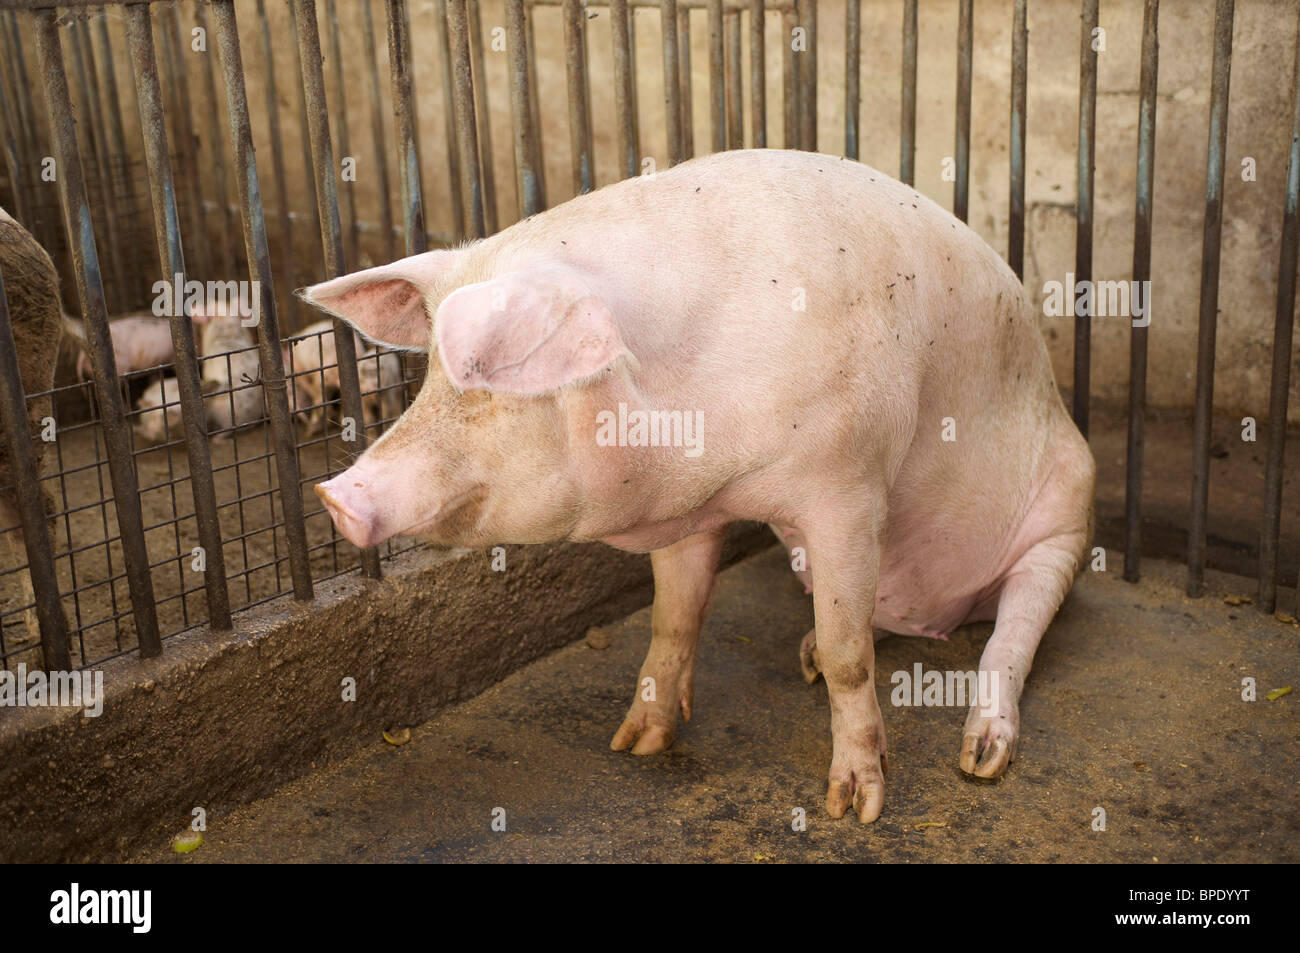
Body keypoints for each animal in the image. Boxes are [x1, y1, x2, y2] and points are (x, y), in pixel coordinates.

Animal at [302, 149, 1096, 824]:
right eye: (429, 376)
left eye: (488, 374)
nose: (334, 495)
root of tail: (940, 618)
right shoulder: (689, 507)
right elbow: (674, 617)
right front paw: (634, 744)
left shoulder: (848, 486)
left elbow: (851, 658)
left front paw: (853, 807)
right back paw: (805, 656)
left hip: (1067, 513)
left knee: (1012, 633)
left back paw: (982, 755)